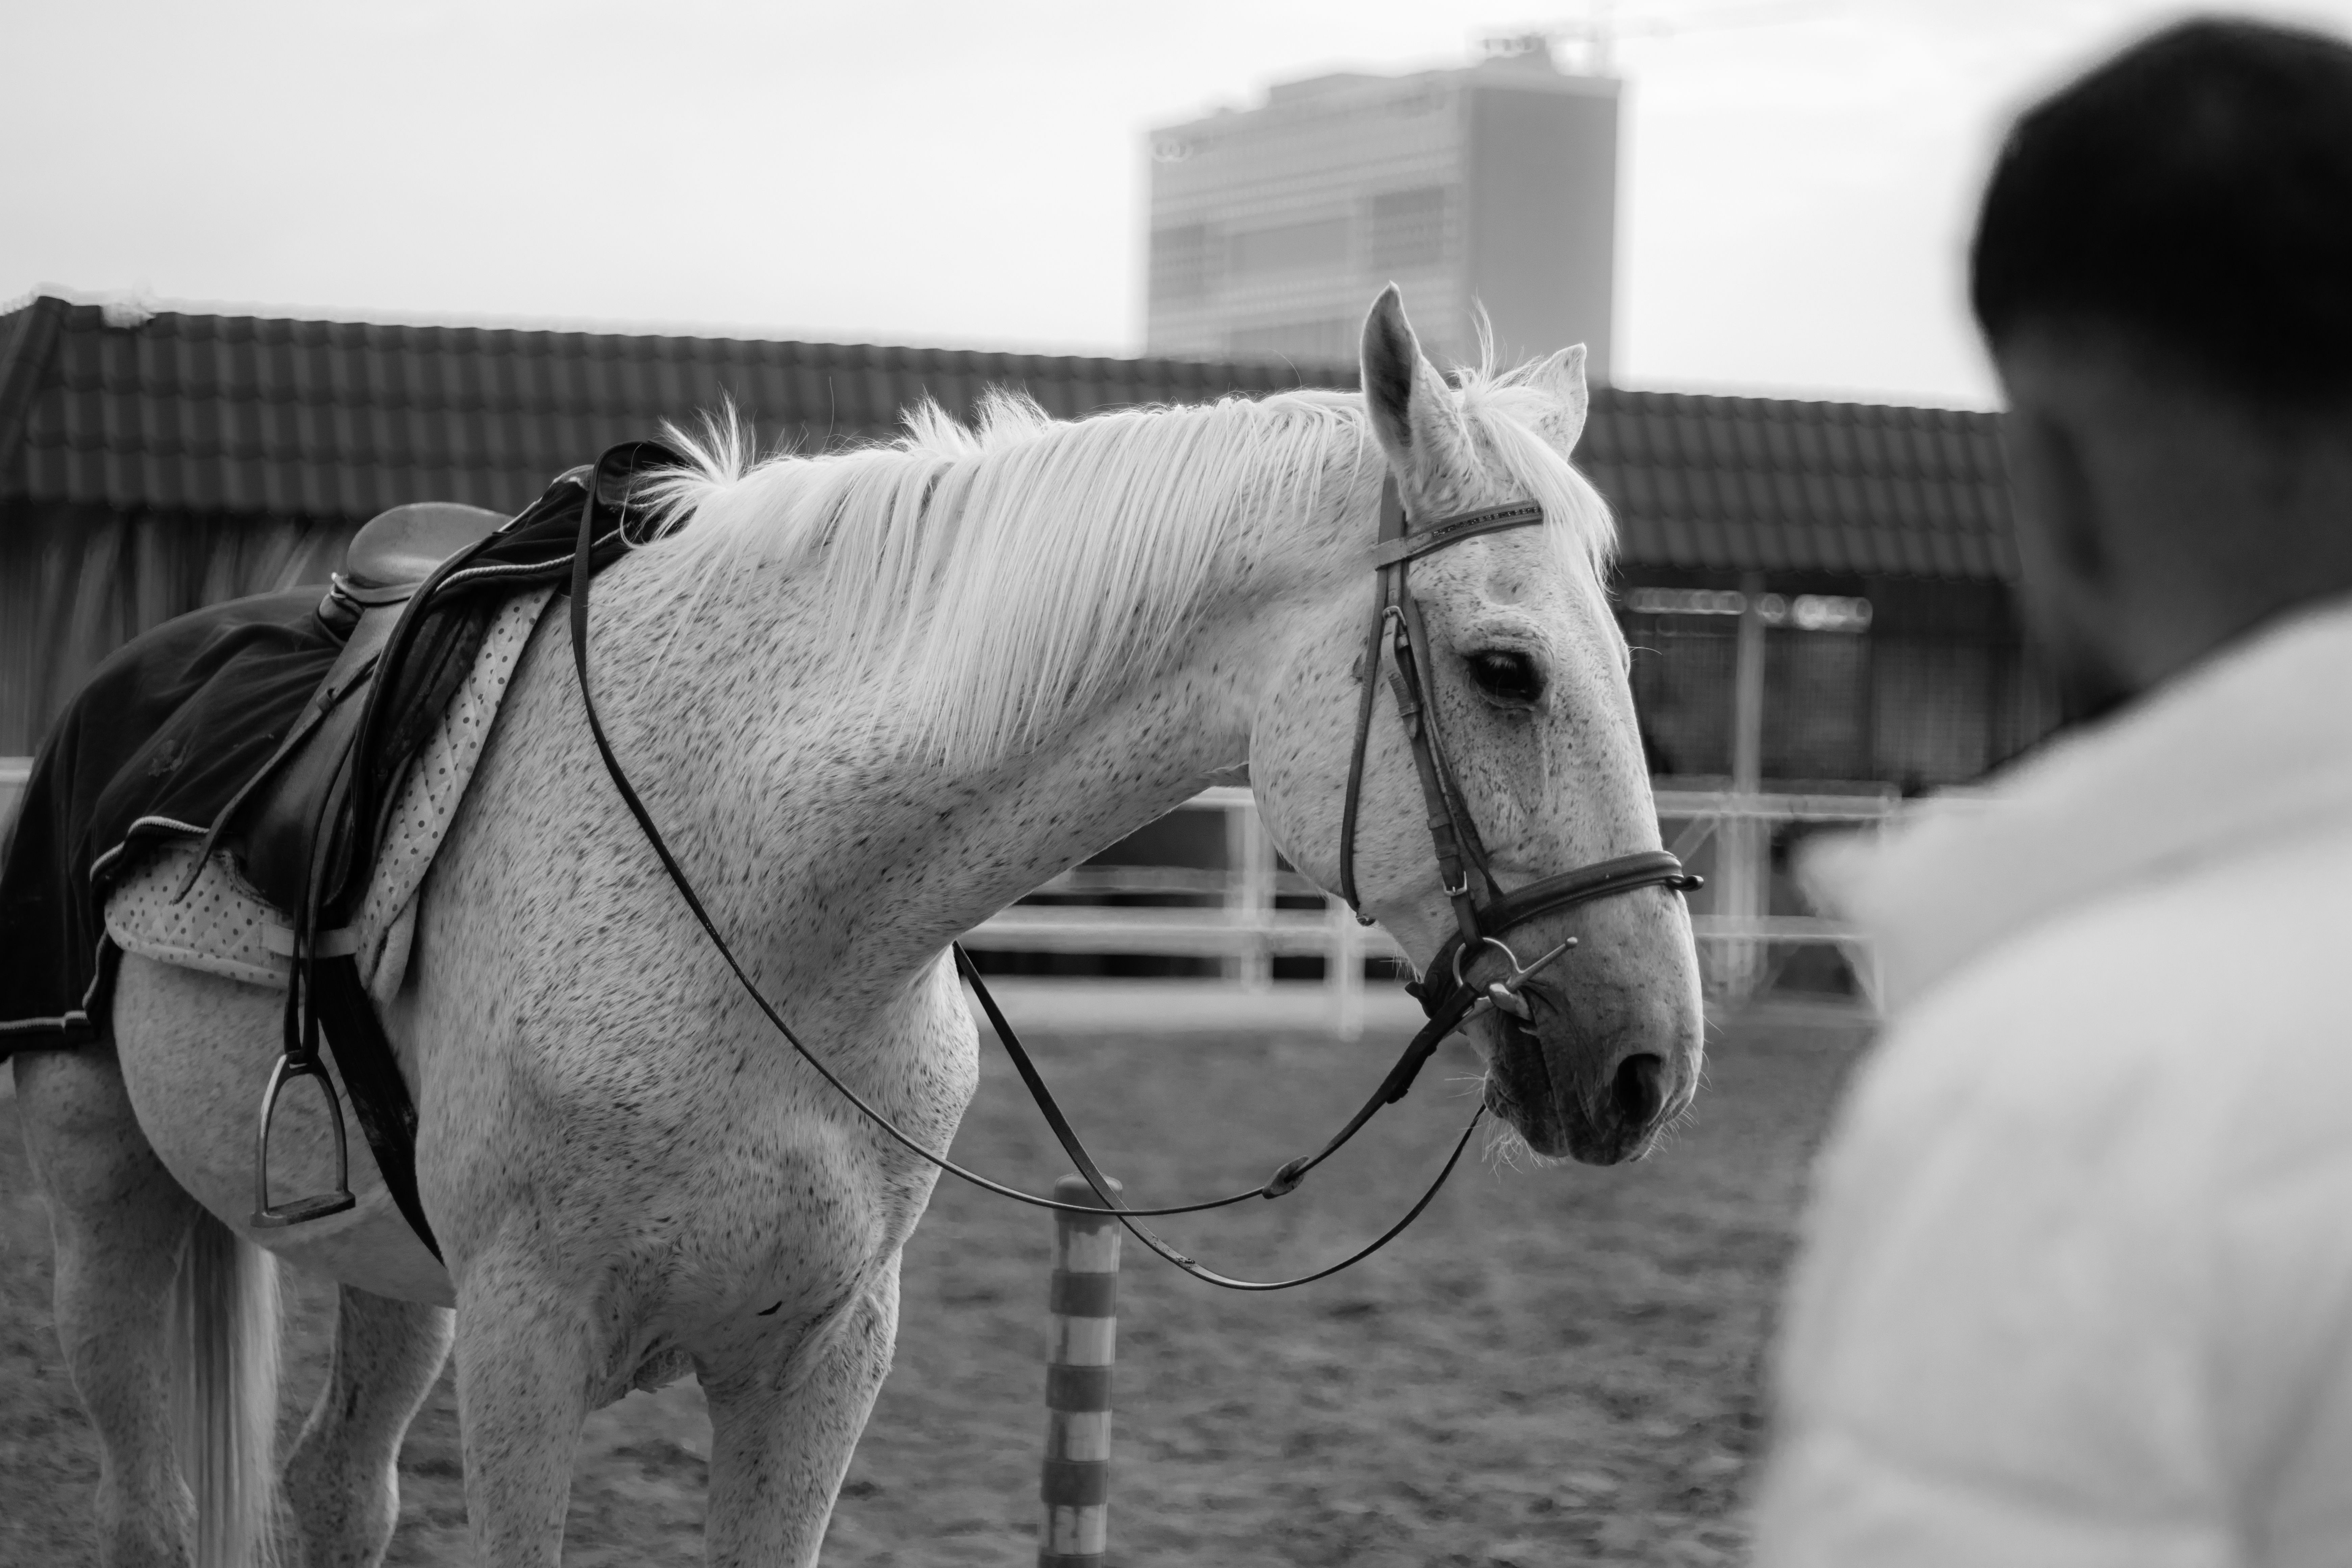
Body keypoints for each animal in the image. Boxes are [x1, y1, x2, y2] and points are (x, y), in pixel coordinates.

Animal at [9, 287, 1703, 1567]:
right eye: (1502, 668)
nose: (1650, 1065)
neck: (768, 904)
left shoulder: (822, 1354)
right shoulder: (526, 1341)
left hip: (385, 1271)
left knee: (333, 1489)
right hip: (110, 1195)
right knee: (153, 1503)